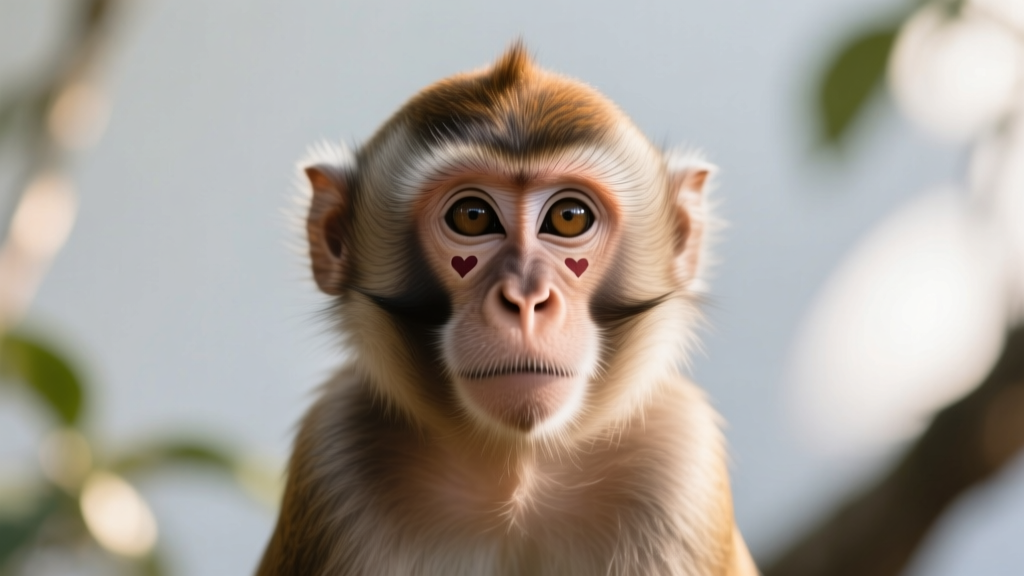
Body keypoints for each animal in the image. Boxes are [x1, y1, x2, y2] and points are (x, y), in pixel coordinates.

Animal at [257, 43, 758, 576]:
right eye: (472, 216)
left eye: (569, 216)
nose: (525, 299)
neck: (518, 473)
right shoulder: (335, 456)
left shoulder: (679, 467)